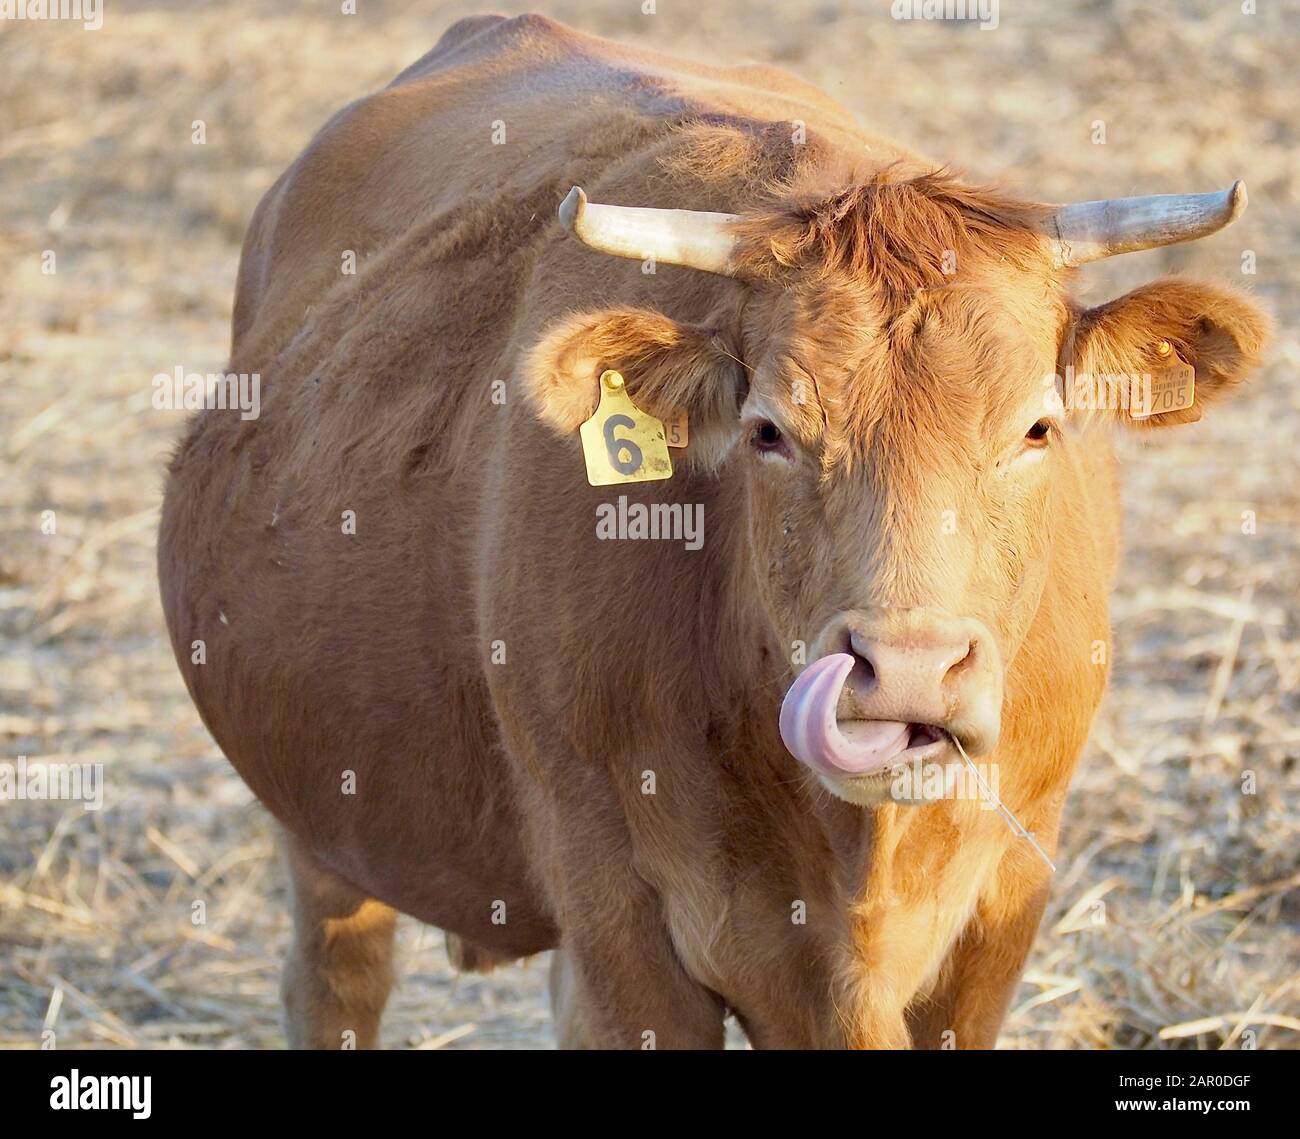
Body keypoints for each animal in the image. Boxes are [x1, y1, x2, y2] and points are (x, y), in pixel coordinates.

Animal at [157, 13, 1270, 1049]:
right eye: (769, 430)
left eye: (1037, 426)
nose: (908, 672)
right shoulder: (615, 905)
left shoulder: (1004, 900)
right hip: (321, 815)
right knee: (336, 977)